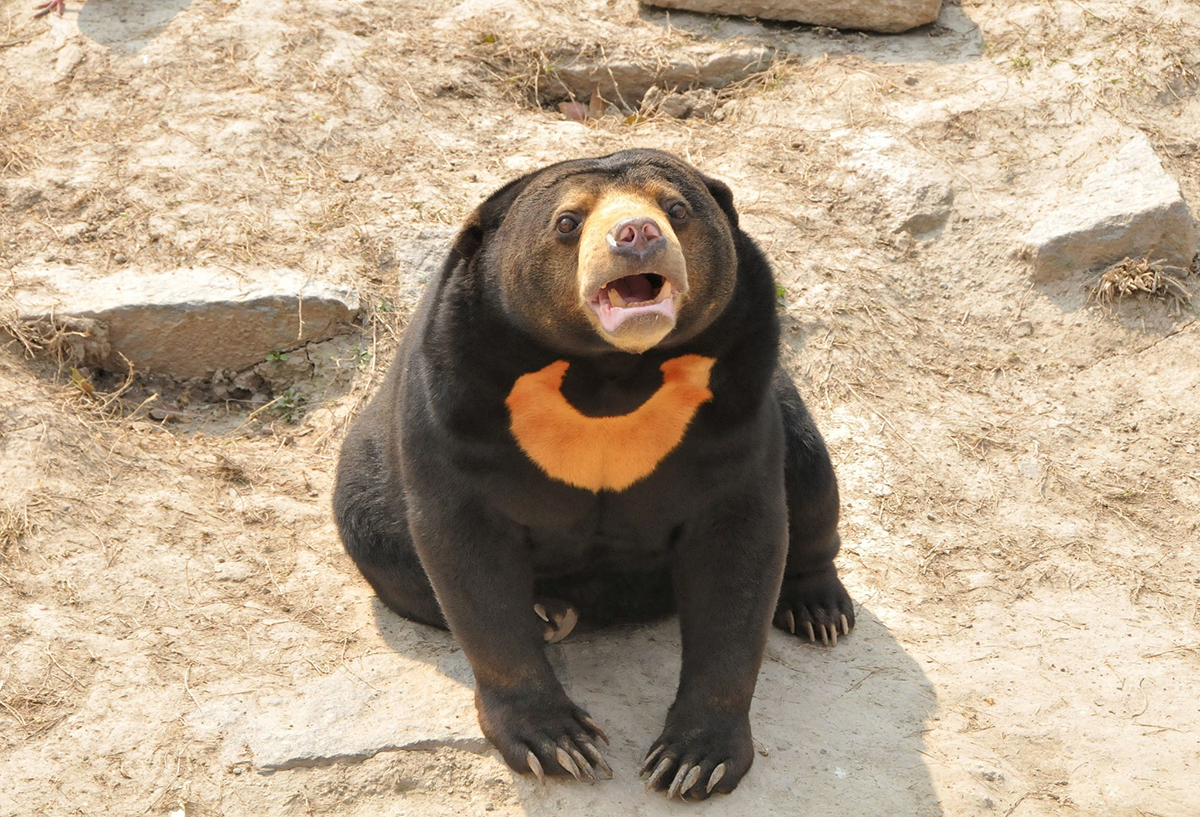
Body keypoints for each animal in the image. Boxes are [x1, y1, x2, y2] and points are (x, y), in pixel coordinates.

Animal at [332, 149, 855, 800]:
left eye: (676, 209)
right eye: (567, 222)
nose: (637, 234)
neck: (609, 374)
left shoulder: (736, 400)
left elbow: (741, 549)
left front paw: (694, 760)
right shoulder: (453, 403)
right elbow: (468, 559)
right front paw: (557, 745)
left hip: (785, 403)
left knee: (810, 472)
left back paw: (819, 610)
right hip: (362, 487)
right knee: (383, 545)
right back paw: (551, 614)